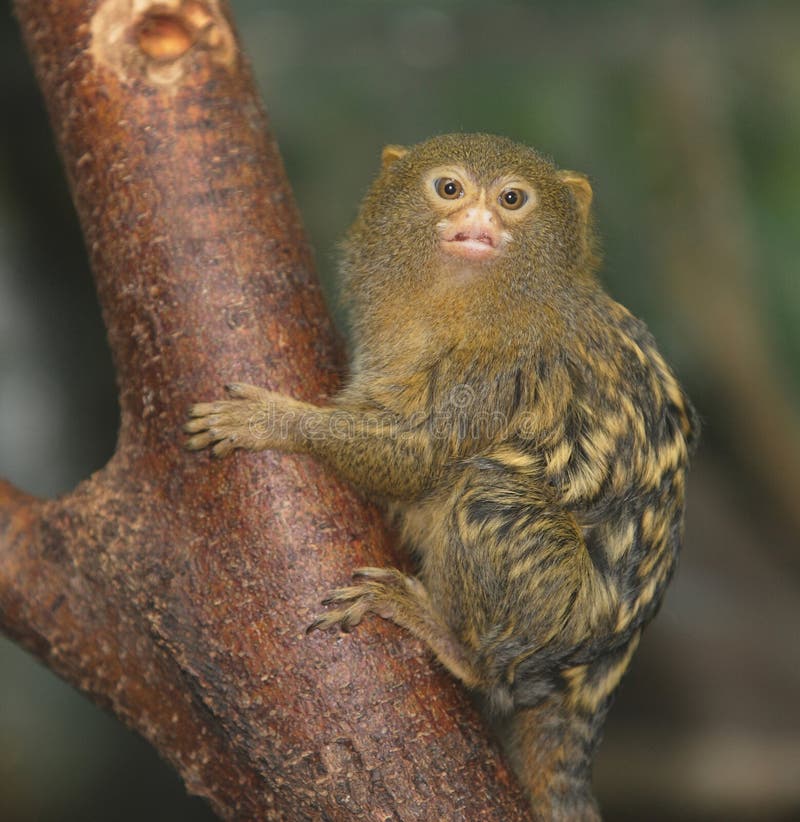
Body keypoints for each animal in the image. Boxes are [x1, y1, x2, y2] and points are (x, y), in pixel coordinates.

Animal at [185, 133, 698, 820]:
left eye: (512, 200)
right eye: (449, 189)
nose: (477, 221)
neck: (471, 304)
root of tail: (603, 667)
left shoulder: (497, 374)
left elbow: (417, 456)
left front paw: (275, 420)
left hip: (558, 618)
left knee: (492, 503)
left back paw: (446, 637)